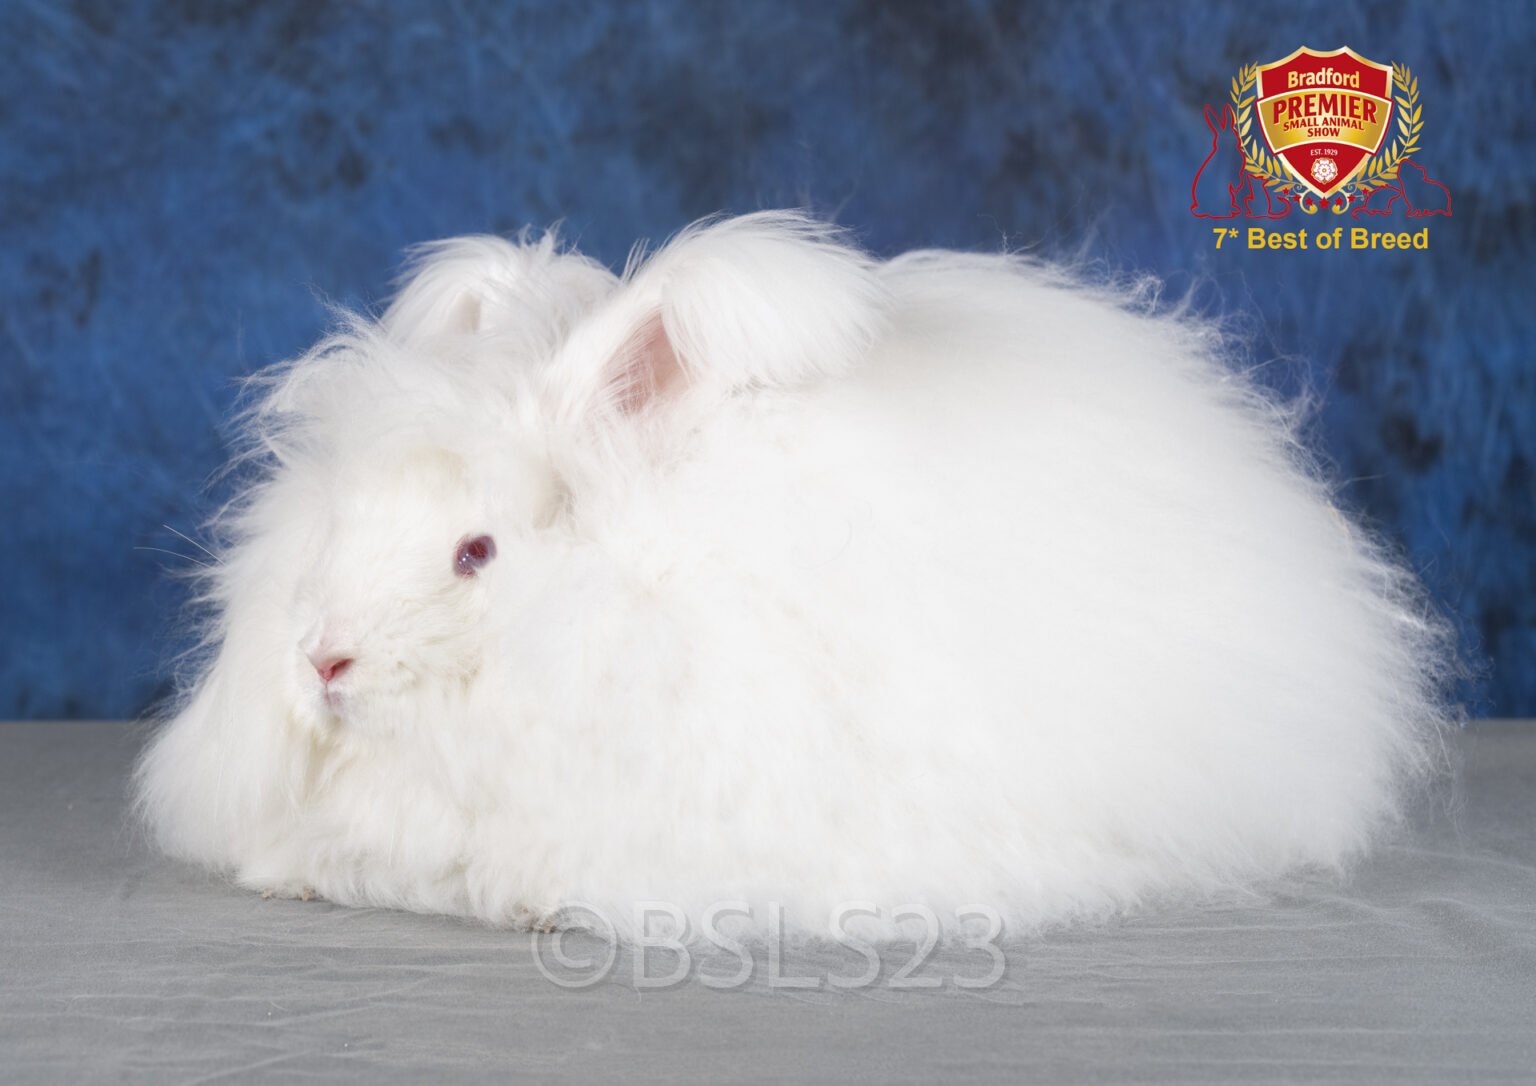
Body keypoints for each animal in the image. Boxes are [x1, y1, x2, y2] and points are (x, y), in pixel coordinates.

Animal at [135, 211, 1455, 940]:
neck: (633, 613)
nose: (322, 660)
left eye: (476, 554)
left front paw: (536, 899)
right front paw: (304, 878)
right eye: (336, 521)